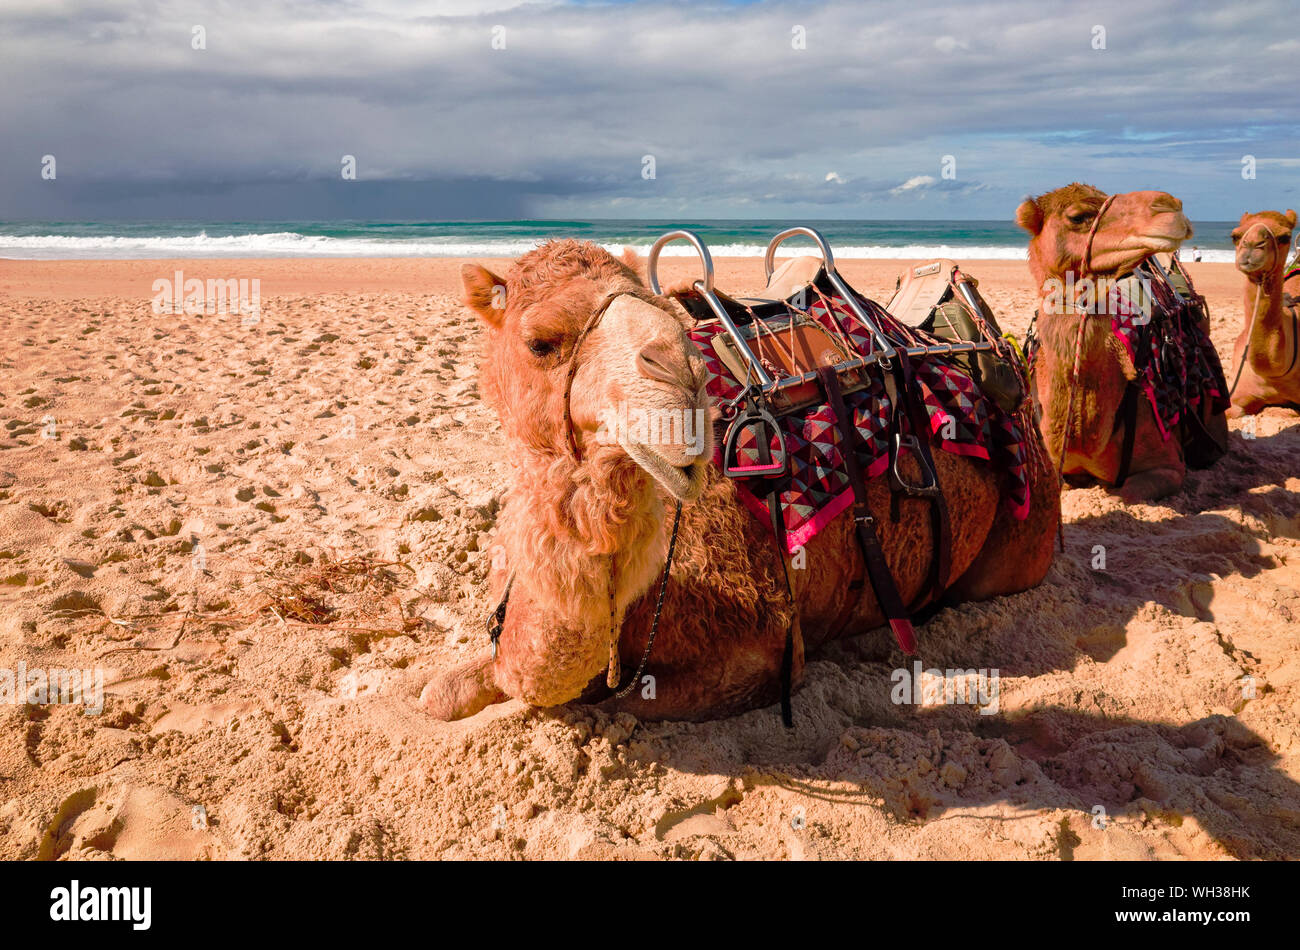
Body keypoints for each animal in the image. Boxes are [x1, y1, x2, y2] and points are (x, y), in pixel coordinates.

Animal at [419, 240, 1060, 723]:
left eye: (650, 305)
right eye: (540, 343)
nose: (679, 375)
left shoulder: (763, 646)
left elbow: (613, 705)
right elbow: (440, 691)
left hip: (1023, 534)